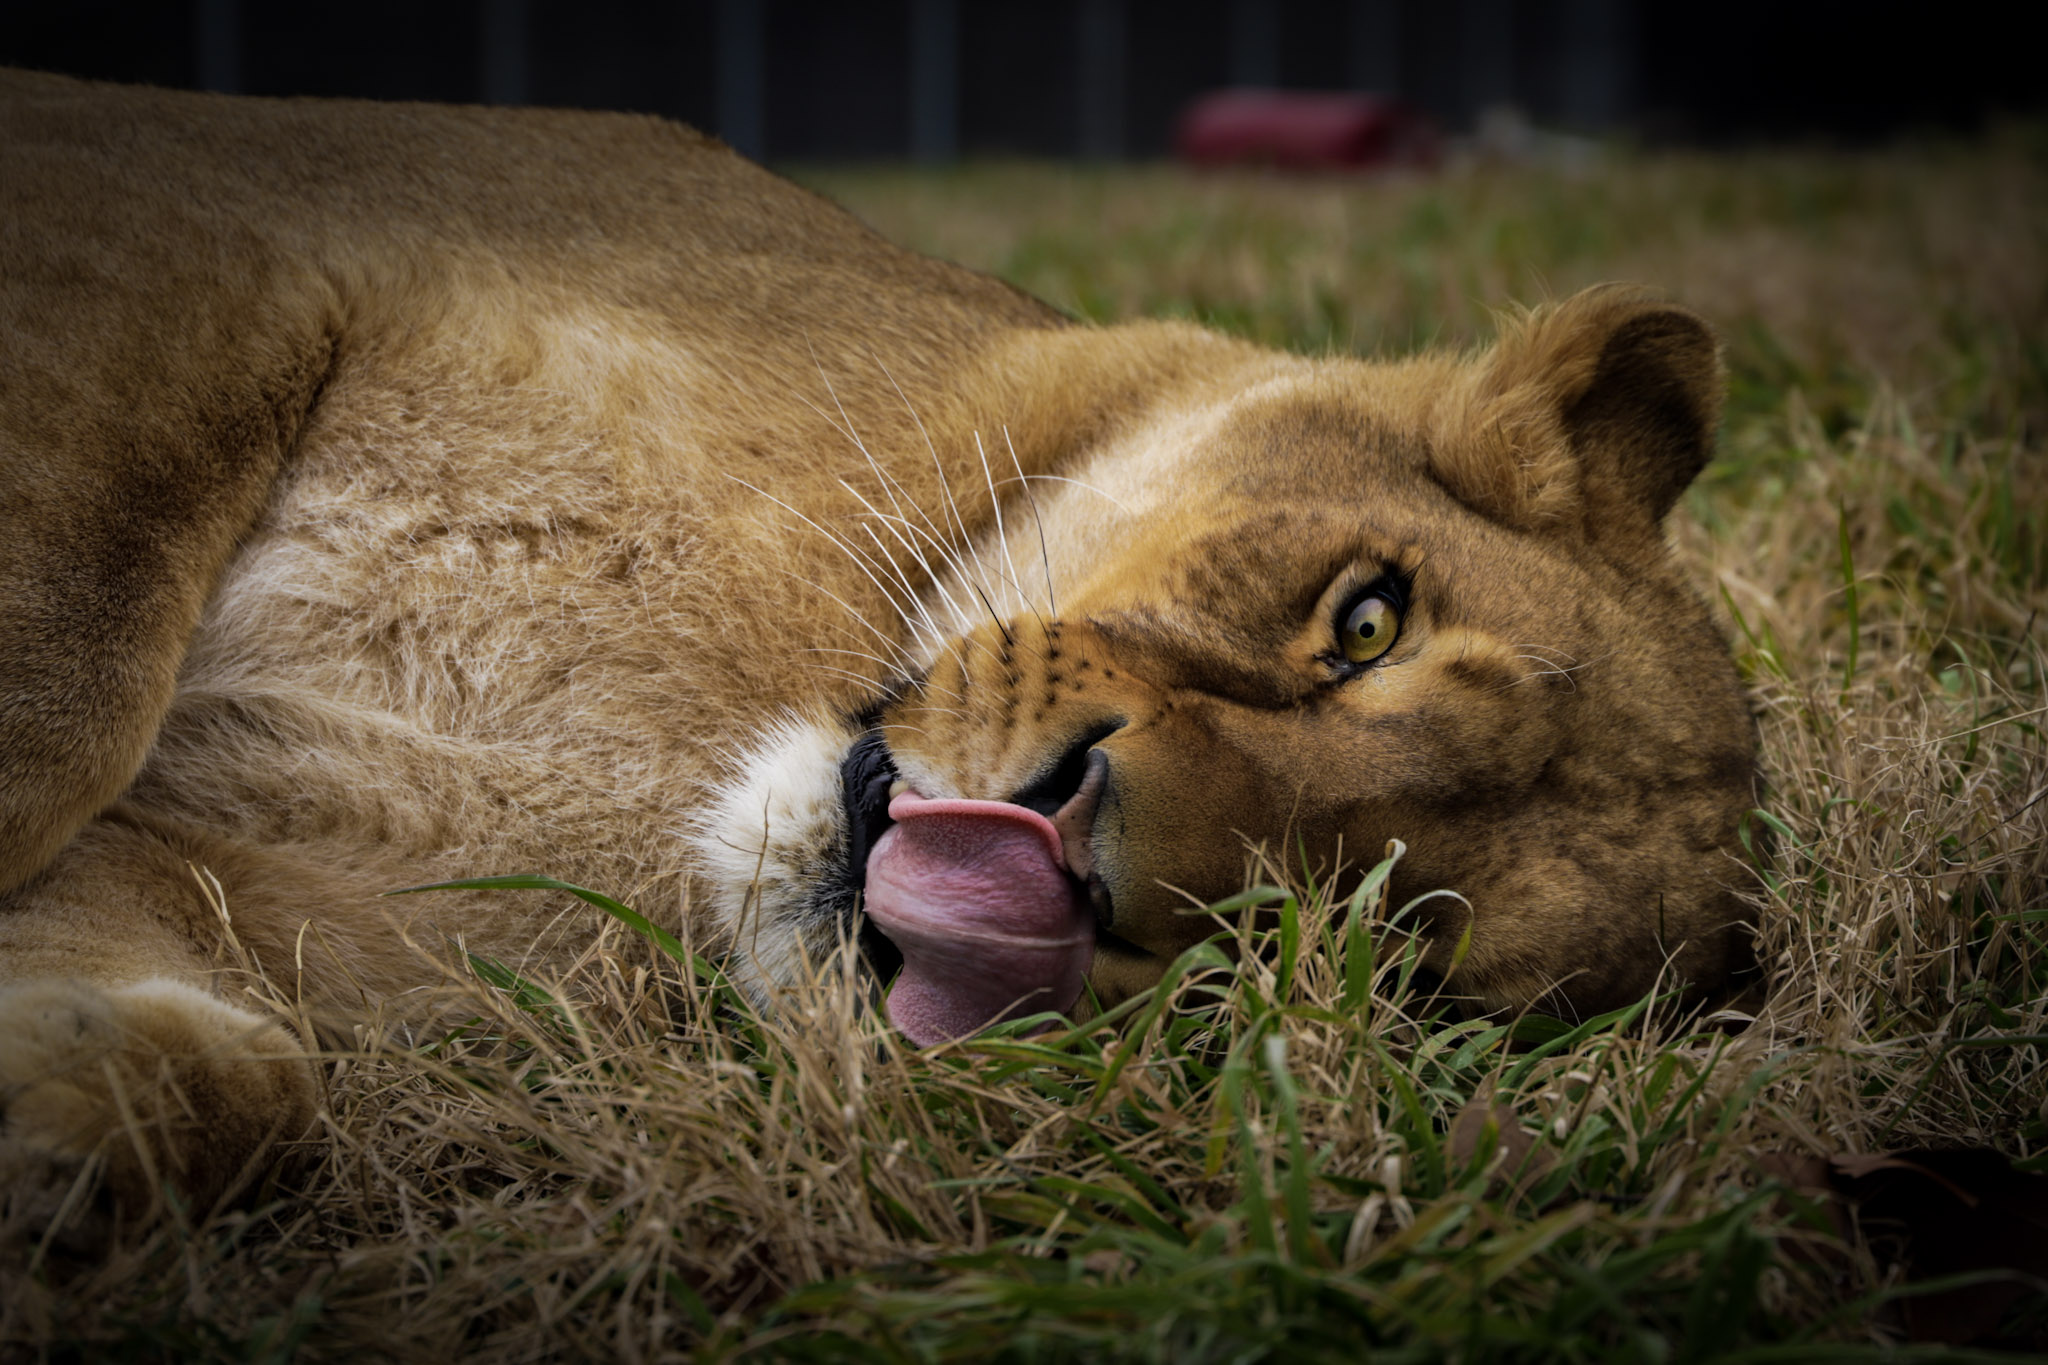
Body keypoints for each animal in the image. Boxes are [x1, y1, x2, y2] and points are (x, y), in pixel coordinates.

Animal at [0, 69, 1757, 1227]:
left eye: (1384, 956)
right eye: (1369, 619)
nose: (1064, 858)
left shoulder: (265, 891)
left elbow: (243, 1075)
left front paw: (63, 1129)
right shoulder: (199, 237)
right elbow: (59, 683)